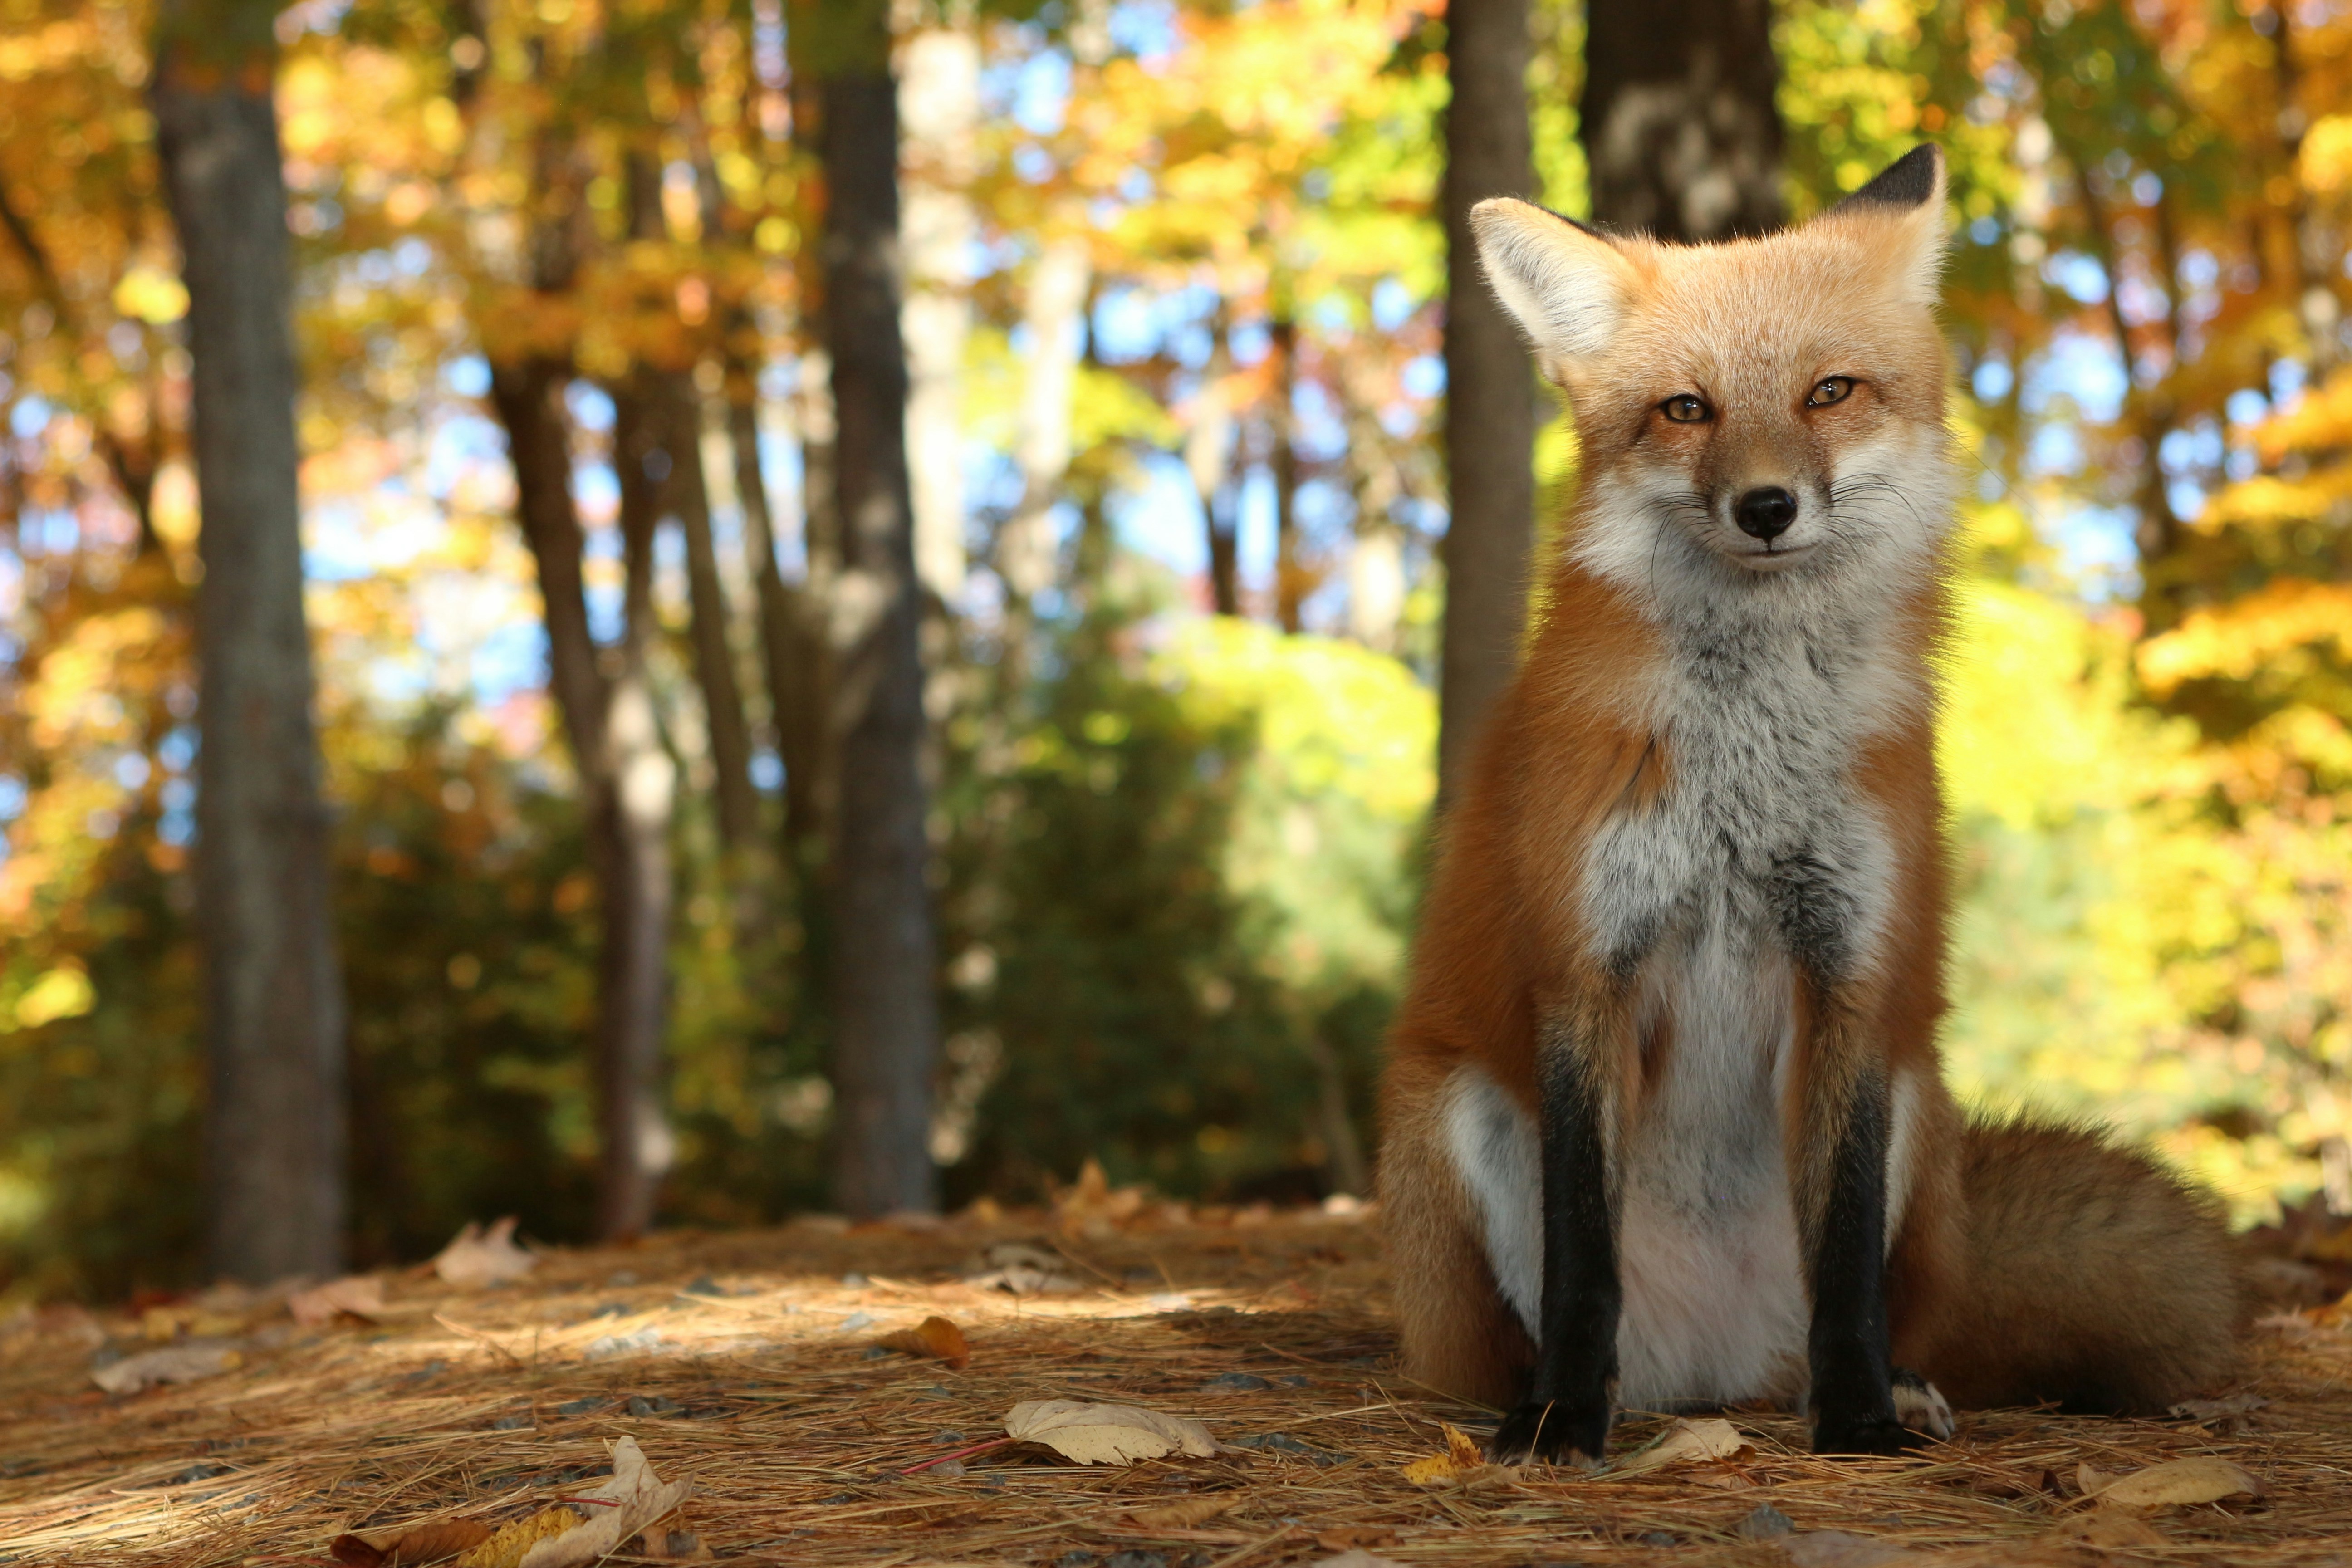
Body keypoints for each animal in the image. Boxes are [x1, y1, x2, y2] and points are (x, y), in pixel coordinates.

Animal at [1376, 144, 2243, 1463]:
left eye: (1830, 392)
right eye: (1686, 410)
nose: (1767, 506)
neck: (1749, 762)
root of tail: (1710, 1375)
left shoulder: (1850, 972)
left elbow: (1842, 1260)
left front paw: (1859, 1419)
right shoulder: (1586, 969)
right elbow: (1583, 1261)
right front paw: (1564, 1419)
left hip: (1915, 1095)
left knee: (1885, 1311)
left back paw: (1894, 1389)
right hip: (1453, 1114)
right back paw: (1555, 1399)